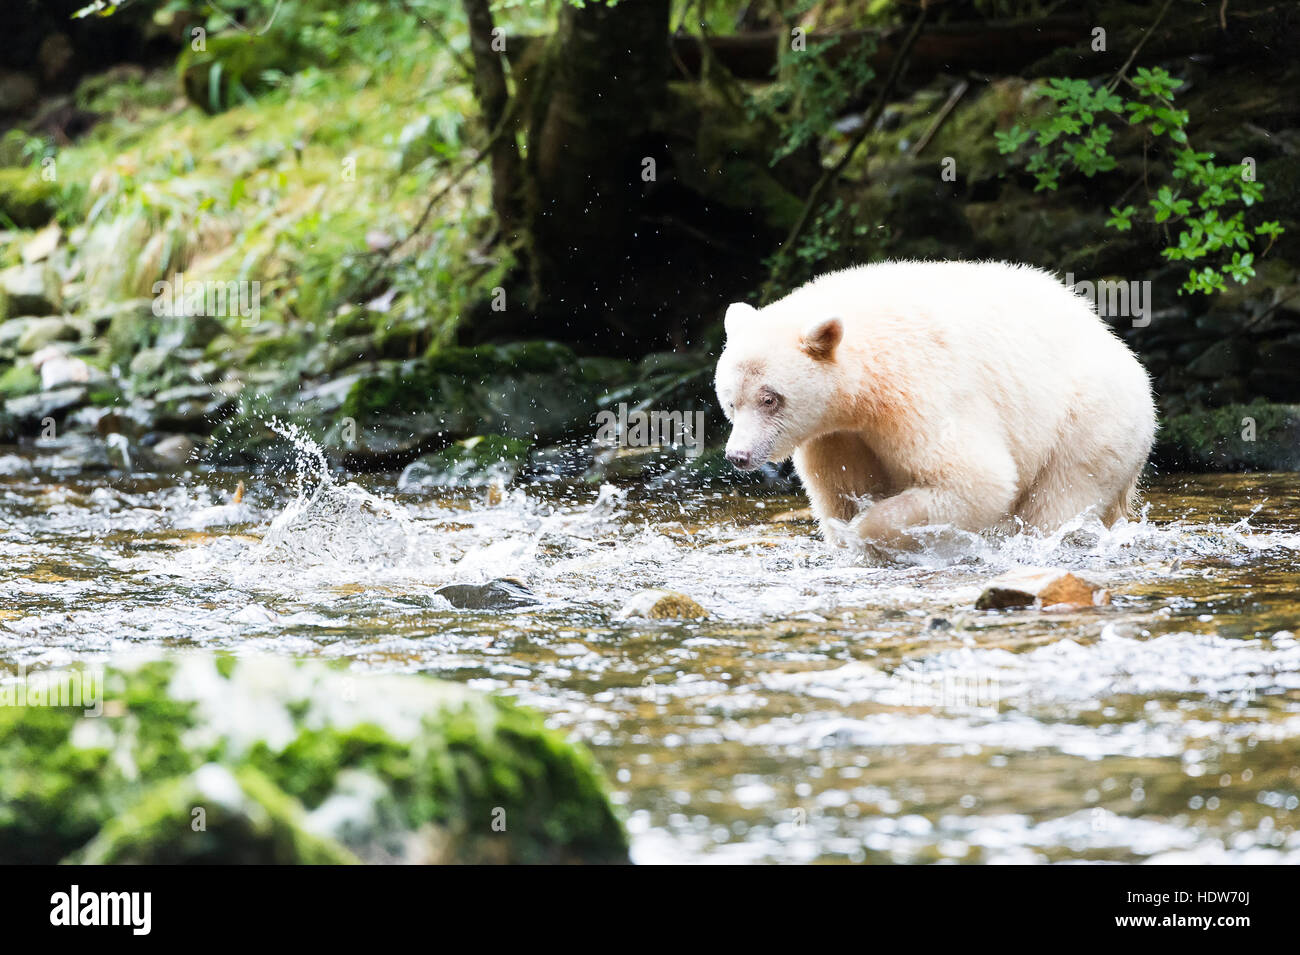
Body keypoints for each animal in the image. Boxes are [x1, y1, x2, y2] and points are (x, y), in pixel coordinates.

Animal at [714, 261, 1157, 547]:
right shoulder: (837, 434)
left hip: (1090, 423)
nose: (738, 455)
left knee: (1058, 500)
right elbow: (841, 490)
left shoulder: (919, 392)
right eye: (730, 401)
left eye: (770, 398)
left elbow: (975, 479)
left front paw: (864, 532)